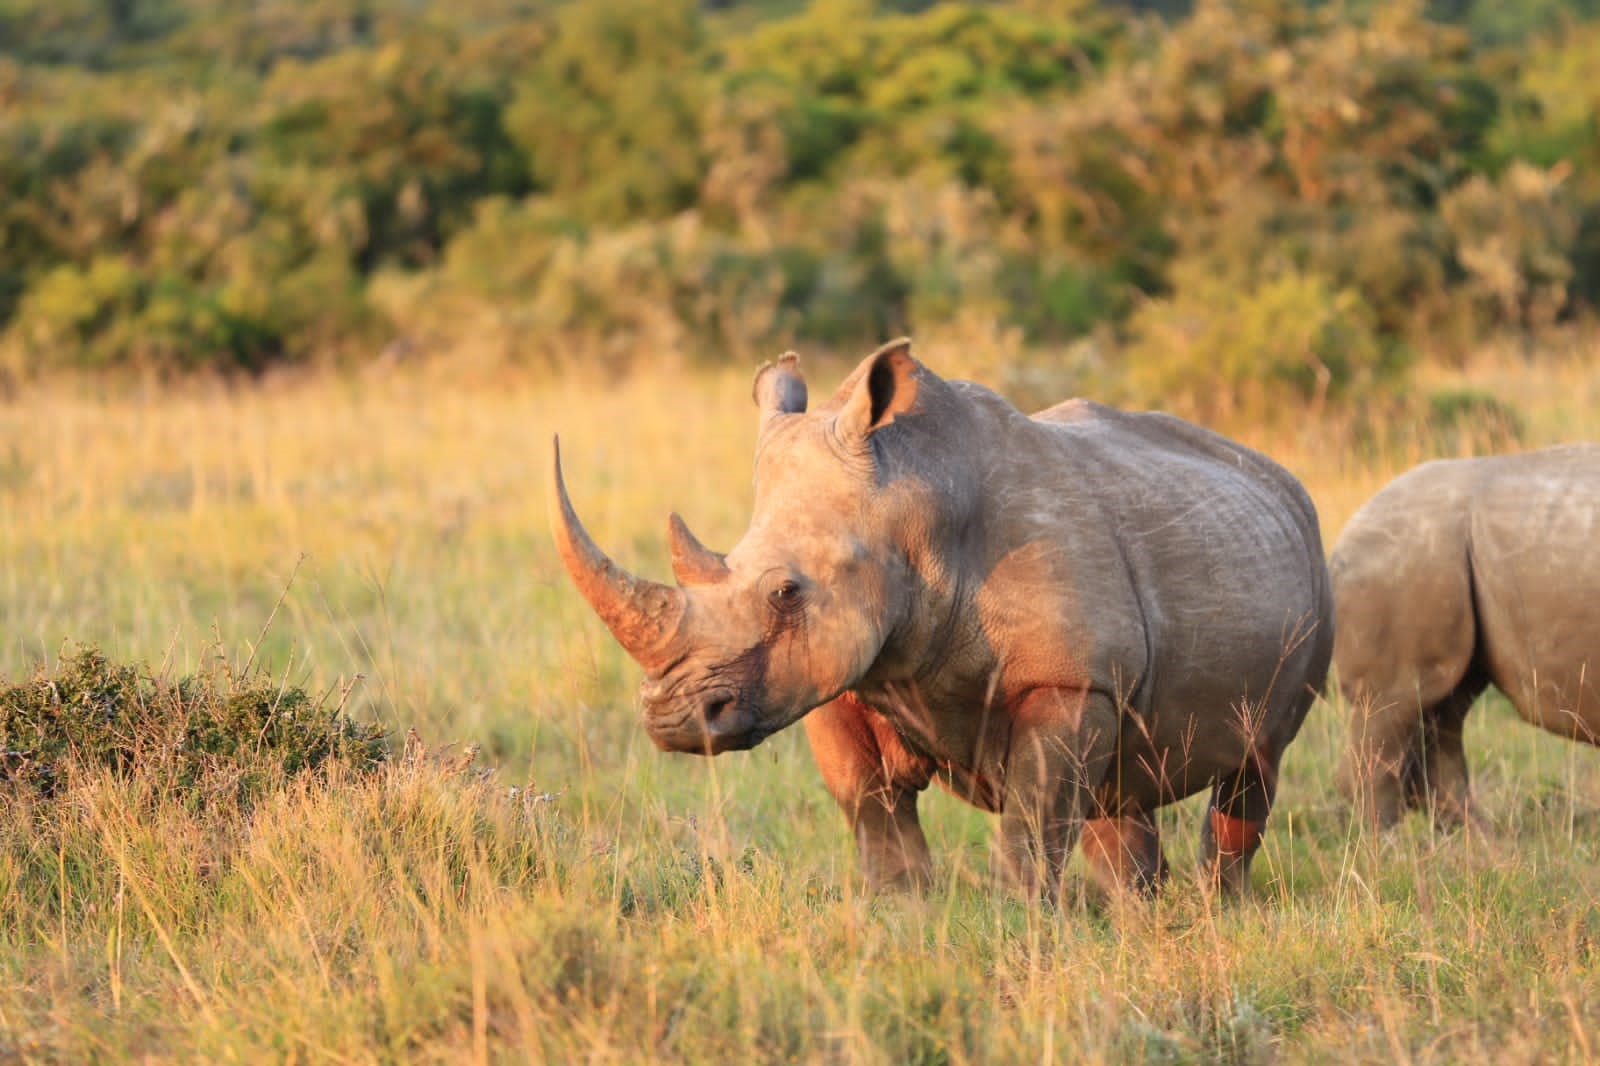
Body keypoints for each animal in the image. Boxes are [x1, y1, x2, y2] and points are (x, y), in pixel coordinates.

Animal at [551, 340, 1334, 899]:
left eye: (786, 593)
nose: (672, 721)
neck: (913, 506)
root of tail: (1278, 477)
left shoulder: (1067, 681)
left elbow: (1031, 822)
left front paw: (1025, 925)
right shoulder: (837, 677)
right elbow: (873, 814)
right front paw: (904, 912)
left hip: (1309, 581)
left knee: (1254, 767)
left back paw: (1218, 909)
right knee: (1120, 789)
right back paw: (1139, 912)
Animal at [1332, 443, 1600, 828]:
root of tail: (1346, 529)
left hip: (1438, 553)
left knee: (1444, 708)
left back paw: (1478, 841)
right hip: (1401, 559)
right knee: (1395, 703)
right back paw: (1386, 841)